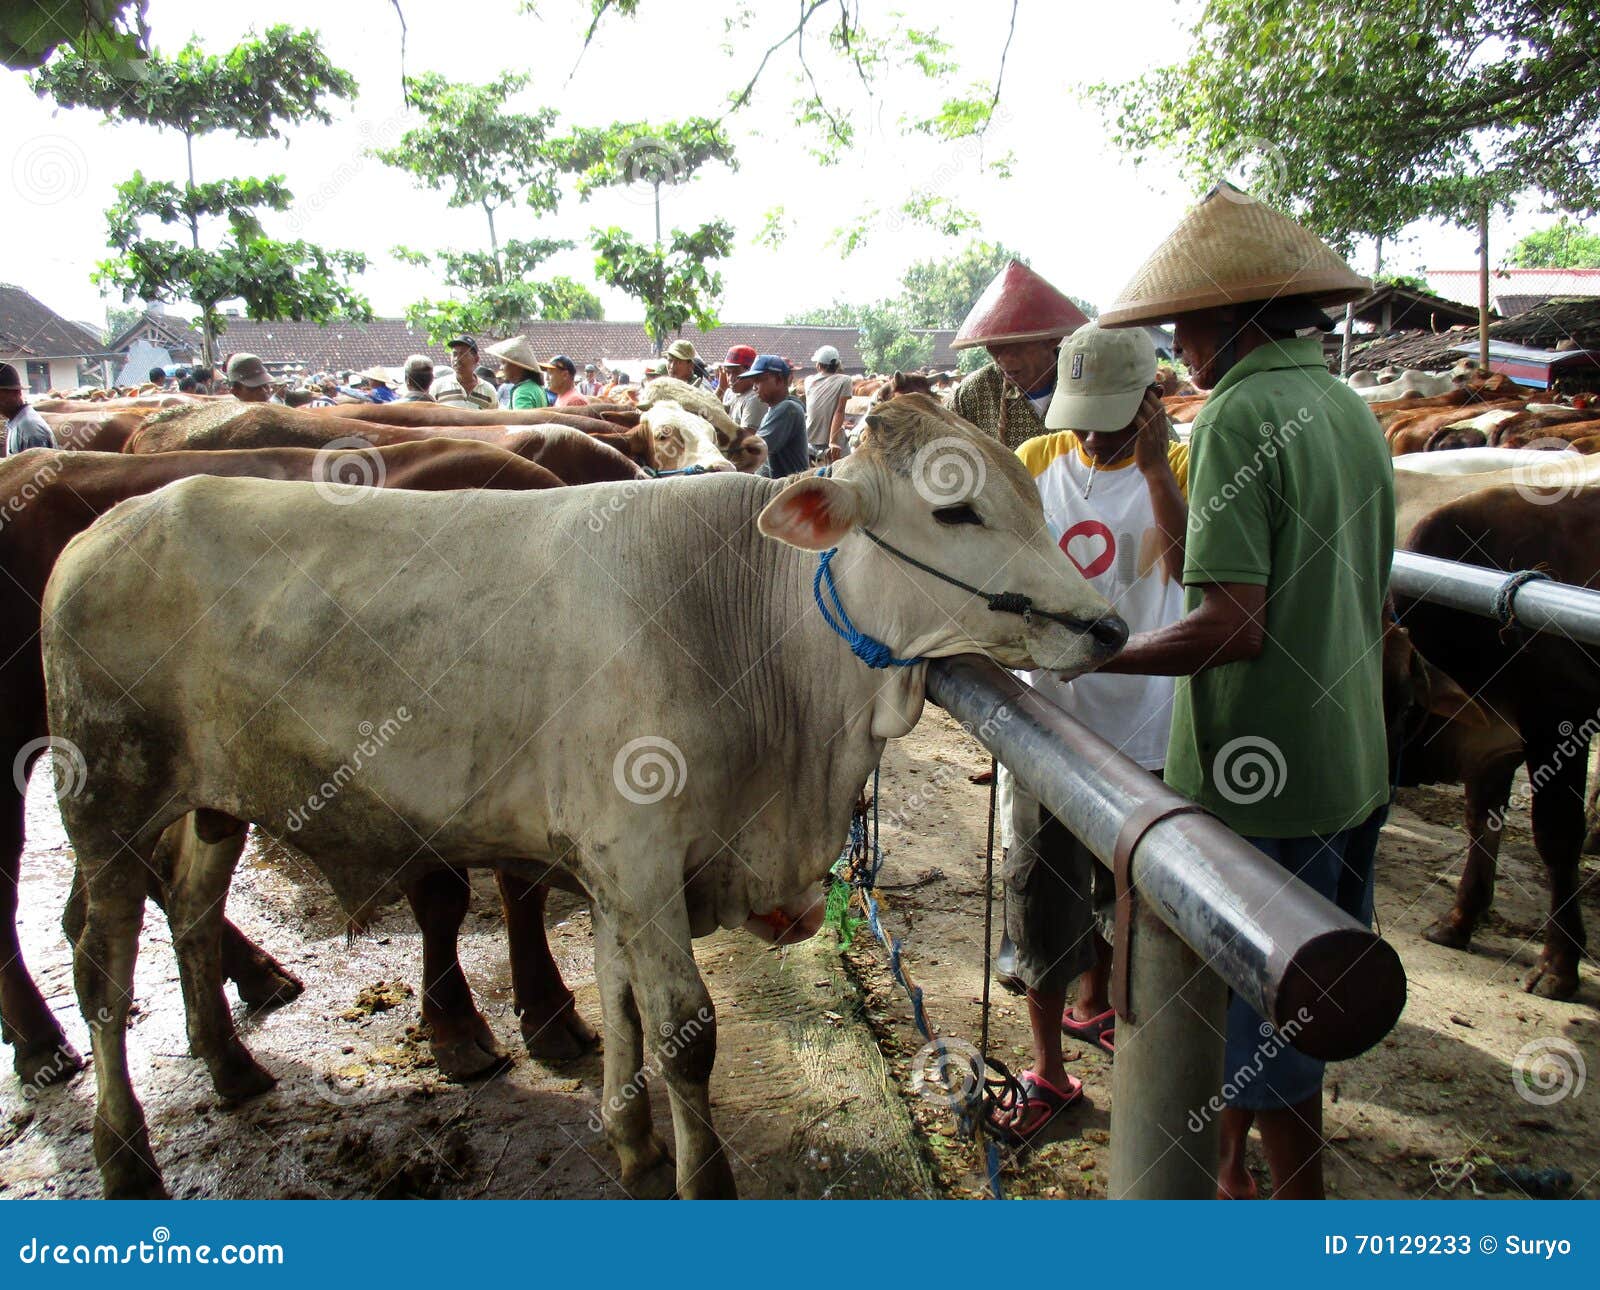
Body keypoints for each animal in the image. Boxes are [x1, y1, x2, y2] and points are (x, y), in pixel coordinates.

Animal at [0, 443, 591, 1090]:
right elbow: (448, 900)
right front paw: (461, 1029)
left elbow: (520, 888)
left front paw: (548, 1014)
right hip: (76, 782)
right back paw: (54, 1054)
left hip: (200, 801)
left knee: (173, 900)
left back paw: (232, 1045)